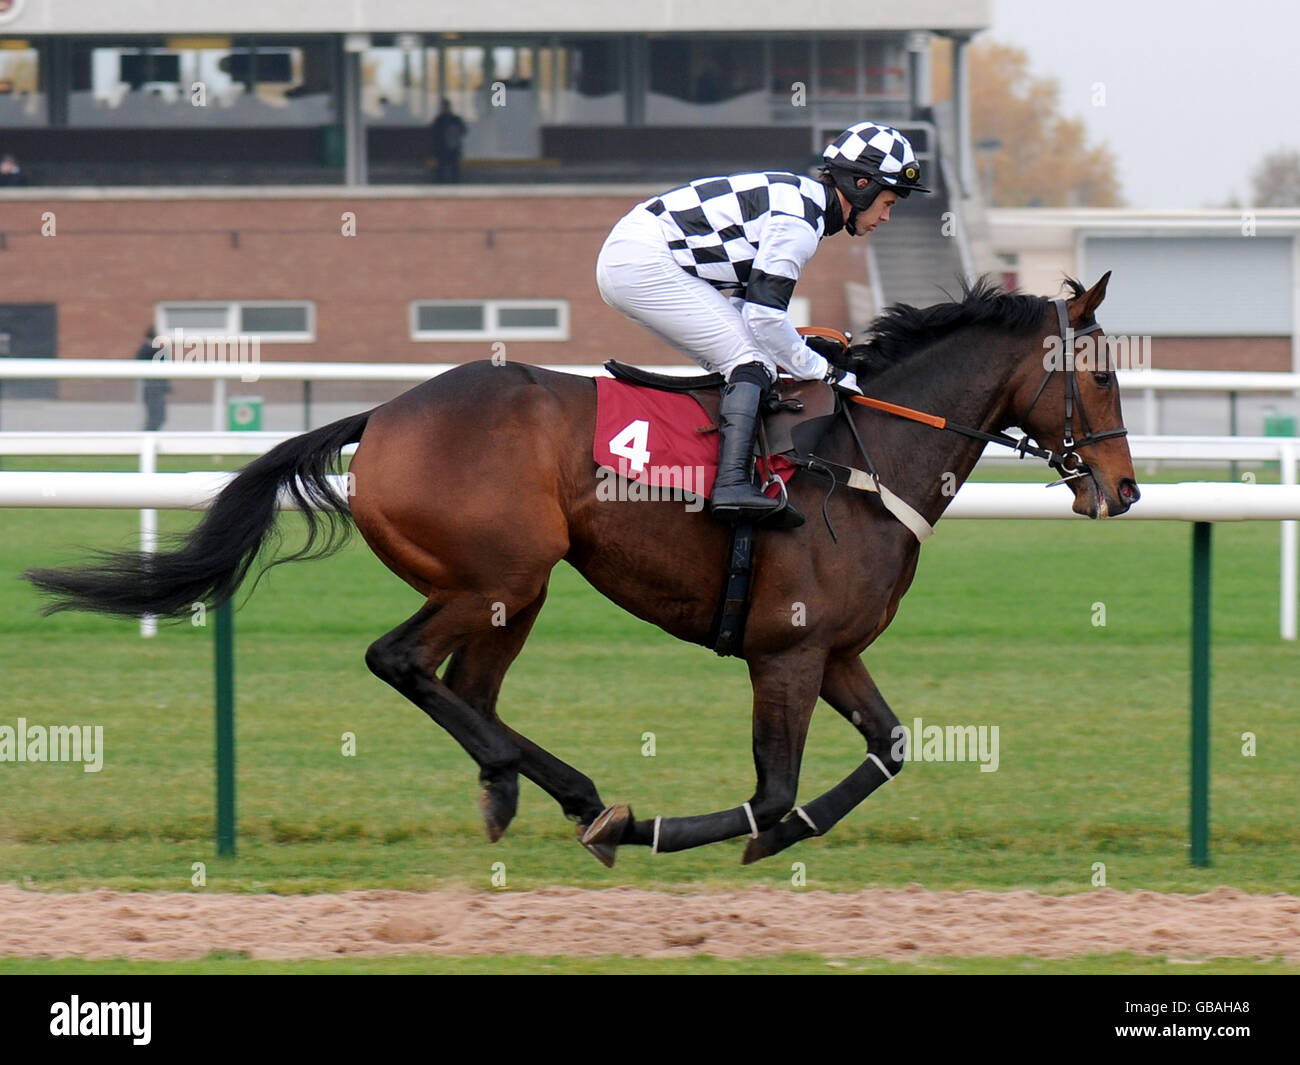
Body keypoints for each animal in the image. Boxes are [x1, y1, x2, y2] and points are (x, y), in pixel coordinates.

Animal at [27, 274, 1139, 865]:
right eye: (1102, 374)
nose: (1124, 490)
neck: (862, 460)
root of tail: (382, 414)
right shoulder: (783, 650)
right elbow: (772, 786)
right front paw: (690, 830)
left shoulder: (835, 650)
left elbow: (890, 748)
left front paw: (781, 836)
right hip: (496, 576)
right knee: (401, 662)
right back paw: (582, 799)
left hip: (514, 588)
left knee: (467, 688)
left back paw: (535, 791)